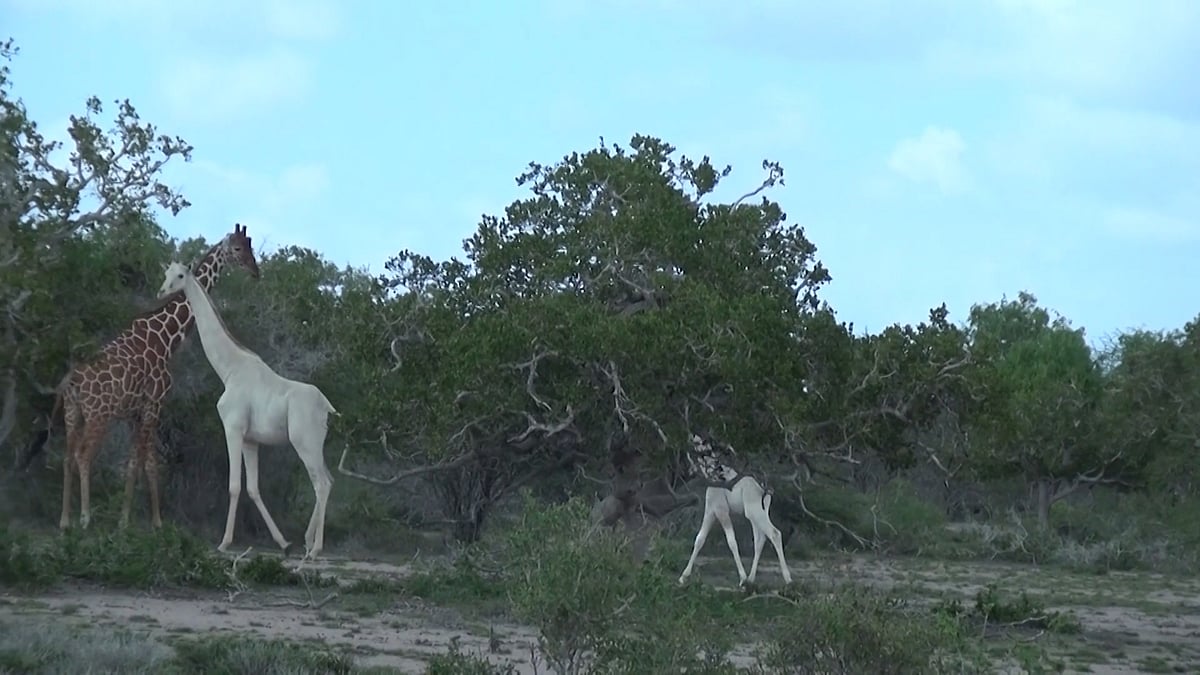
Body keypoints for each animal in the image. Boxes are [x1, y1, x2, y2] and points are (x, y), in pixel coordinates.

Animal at [24, 224, 261, 531]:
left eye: (250, 245)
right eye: (237, 249)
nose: (255, 270)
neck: (165, 339)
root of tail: (71, 380)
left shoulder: (137, 412)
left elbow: (147, 463)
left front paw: (156, 522)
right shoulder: (153, 405)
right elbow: (138, 462)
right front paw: (125, 521)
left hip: (72, 412)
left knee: (66, 456)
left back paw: (65, 520)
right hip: (98, 414)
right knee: (83, 455)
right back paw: (85, 518)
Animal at [157, 260, 337, 560]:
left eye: (180, 275)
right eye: (166, 273)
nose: (162, 291)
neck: (229, 369)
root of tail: (327, 406)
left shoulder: (233, 429)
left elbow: (233, 486)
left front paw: (224, 542)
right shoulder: (252, 440)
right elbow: (253, 488)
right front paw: (283, 543)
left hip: (304, 443)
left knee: (320, 483)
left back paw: (316, 549)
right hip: (316, 445)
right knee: (329, 480)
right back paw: (307, 541)